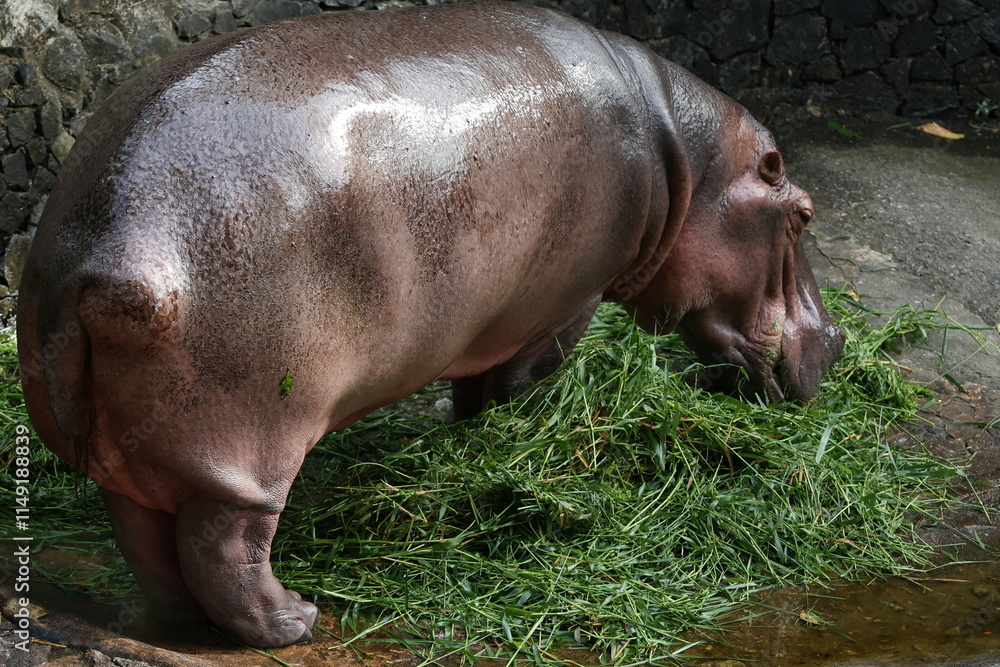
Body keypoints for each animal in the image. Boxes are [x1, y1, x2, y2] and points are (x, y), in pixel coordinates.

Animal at [18, 0, 844, 649]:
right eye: (803, 213)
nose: (836, 342)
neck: (690, 160)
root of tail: (99, 254)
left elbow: (478, 389)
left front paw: (476, 440)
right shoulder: (565, 303)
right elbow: (516, 382)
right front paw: (516, 436)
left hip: (133, 452)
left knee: (148, 538)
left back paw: (189, 622)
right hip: (249, 443)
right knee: (226, 545)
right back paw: (294, 622)